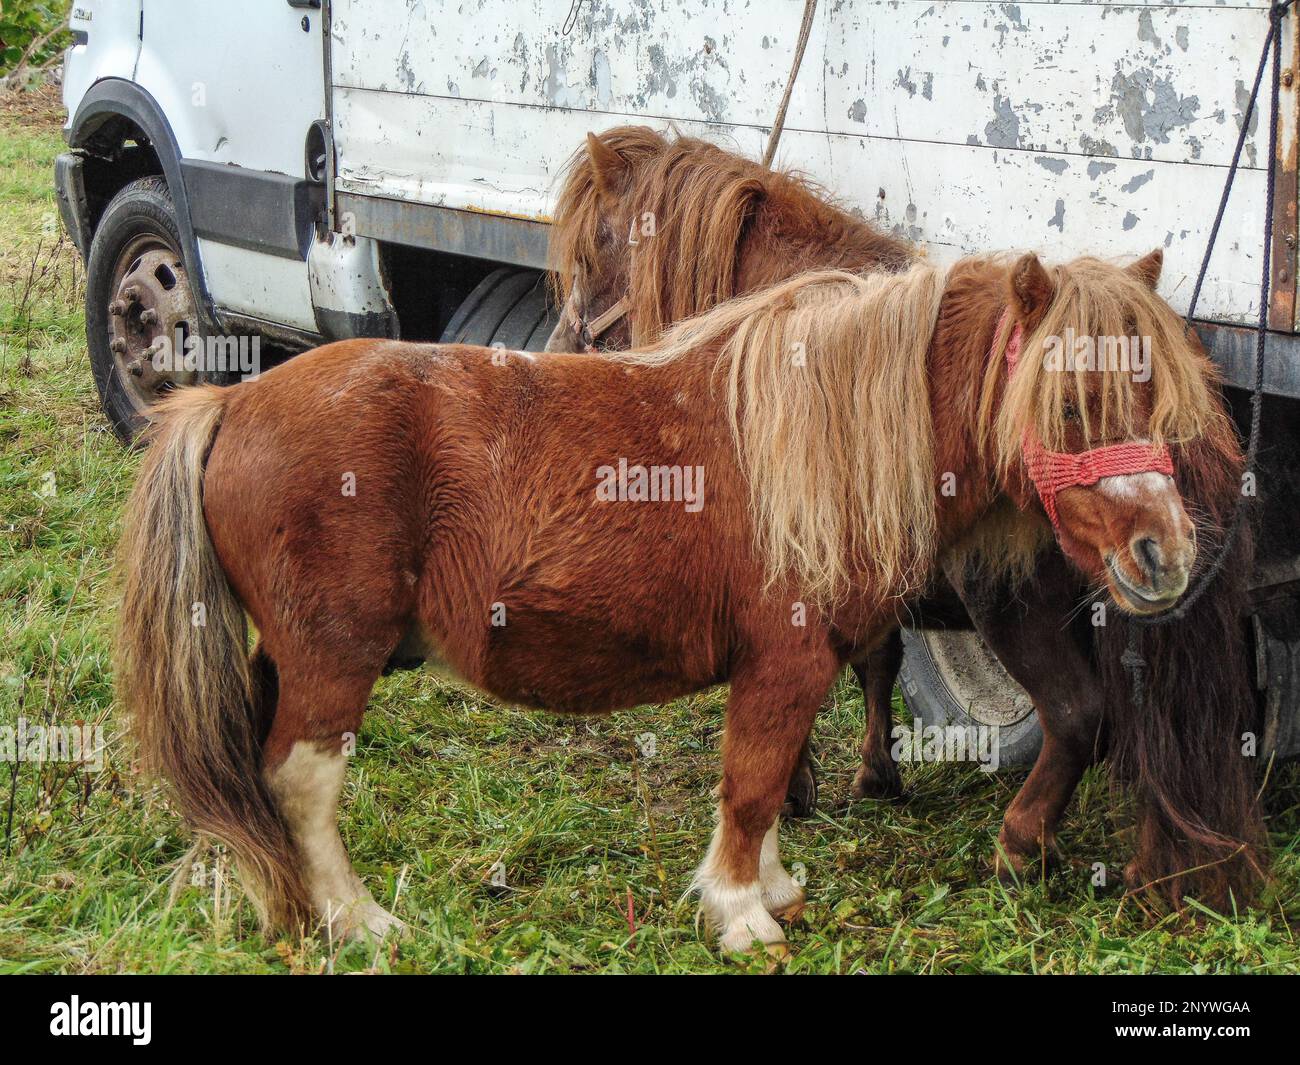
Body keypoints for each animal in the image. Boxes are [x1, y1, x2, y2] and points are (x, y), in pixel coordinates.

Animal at [116, 249, 1232, 954]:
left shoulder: (797, 666)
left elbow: (771, 778)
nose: (1166, 555)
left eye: (1158, 396)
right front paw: (740, 914)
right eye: (1071, 403)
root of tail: (229, 400)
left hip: (286, 656)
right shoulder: (783, 659)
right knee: (300, 783)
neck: (821, 436)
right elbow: (750, 782)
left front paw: (772, 885)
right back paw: (354, 922)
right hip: (333, 658)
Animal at [546, 126, 1264, 907]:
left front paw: (796, 787)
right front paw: (876, 772)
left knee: (1080, 716)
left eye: (589, 255)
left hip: (1014, 599)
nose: (554, 353)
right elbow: (877, 660)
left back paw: (1021, 843)